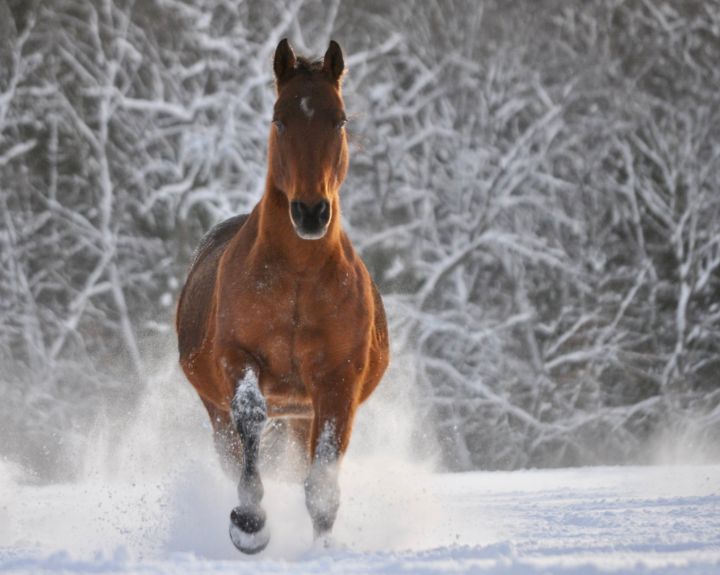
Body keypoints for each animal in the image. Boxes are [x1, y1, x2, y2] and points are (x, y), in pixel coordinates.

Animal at [176, 39, 389, 554]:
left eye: (340, 119)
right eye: (279, 118)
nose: (310, 212)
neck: (297, 276)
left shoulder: (338, 381)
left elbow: (323, 476)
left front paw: (324, 549)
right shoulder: (237, 358)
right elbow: (251, 416)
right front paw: (249, 523)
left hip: (298, 416)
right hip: (217, 410)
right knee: (236, 451)